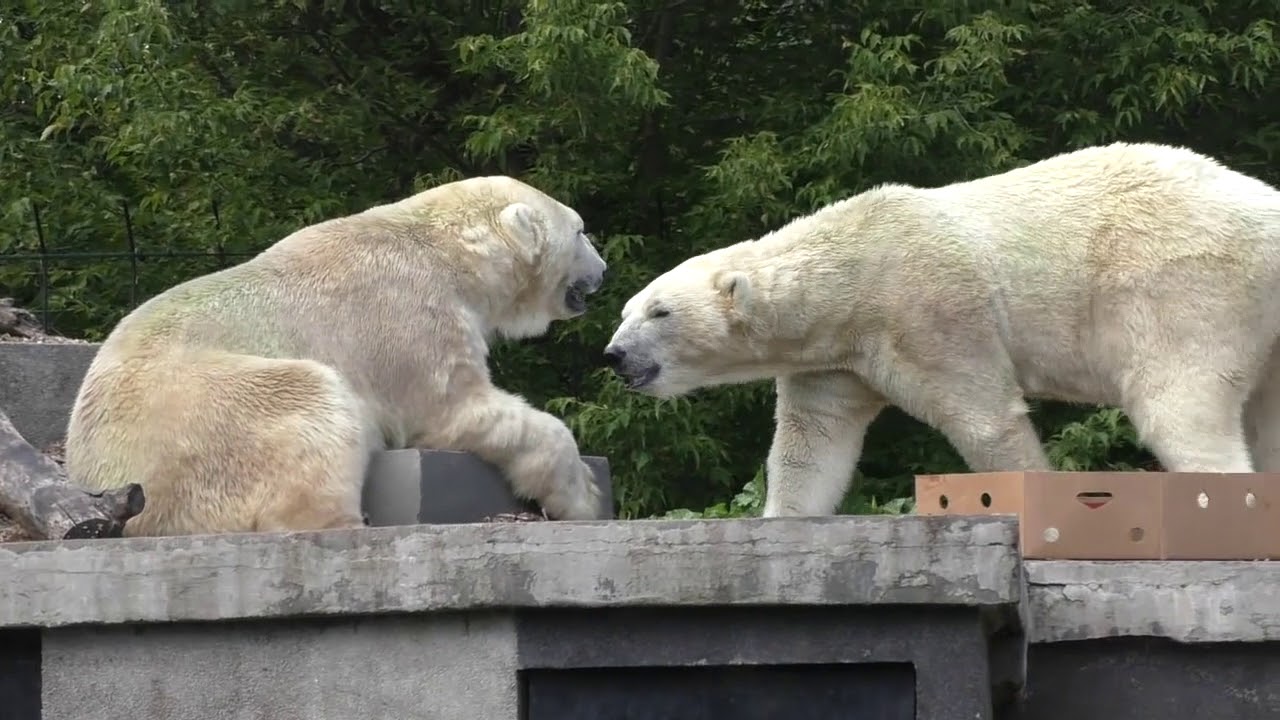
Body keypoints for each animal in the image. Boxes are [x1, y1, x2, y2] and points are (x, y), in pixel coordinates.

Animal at [64, 175, 610, 536]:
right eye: (582, 230)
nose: (603, 270)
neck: (447, 252)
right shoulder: (410, 316)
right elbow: (457, 410)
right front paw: (583, 494)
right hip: (206, 418)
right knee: (310, 399)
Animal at [603, 141, 1280, 517]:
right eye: (625, 312)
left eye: (659, 313)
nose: (613, 356)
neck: (852, 276)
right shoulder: (833, 359)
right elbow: (810, 444)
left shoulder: (930, 309)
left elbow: (986, 419)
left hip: (1181, 287)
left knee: (1178, 404)